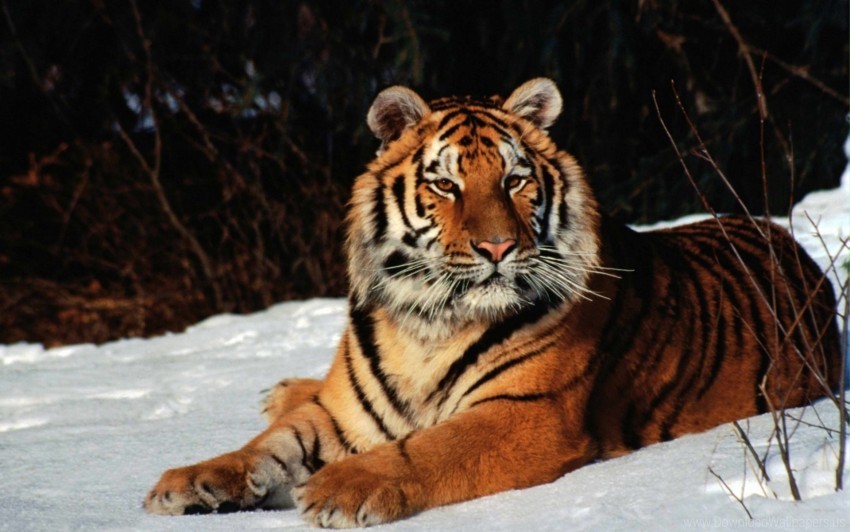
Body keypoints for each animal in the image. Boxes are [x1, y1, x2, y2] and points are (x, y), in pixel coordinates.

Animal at [144, 78, 841, 527]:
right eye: (445, 185)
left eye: (515, 179)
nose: (499, 246)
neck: (427, 322)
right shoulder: (345, 411)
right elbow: (266, 447)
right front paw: (188, 482)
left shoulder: (525, 413)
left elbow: (426, 448)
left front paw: (340, 488)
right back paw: (281, 390)